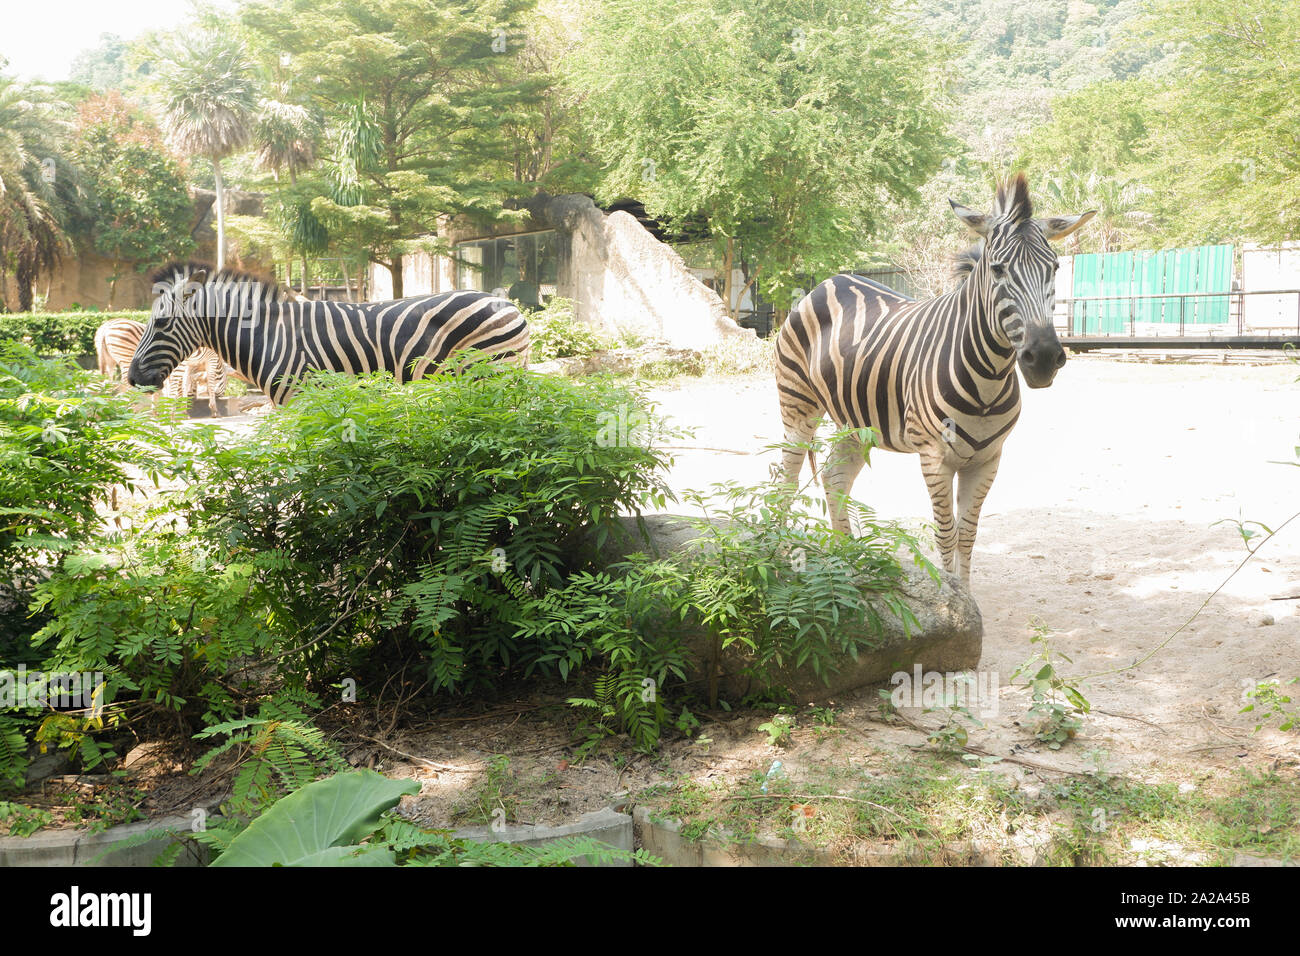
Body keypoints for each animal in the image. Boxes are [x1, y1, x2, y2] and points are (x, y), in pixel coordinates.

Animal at [127, 262, 530, 405]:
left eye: (161, 324)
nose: (131, 379)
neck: (271, 337)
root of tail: (508, 305)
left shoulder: (304, 398)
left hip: (492, 372)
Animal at [775, 174, 1094, 587]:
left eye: (1054, 268)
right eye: (998, 270)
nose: (1042, 359)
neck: (988, 380)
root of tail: (830, 281)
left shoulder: (988, 459)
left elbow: (968, 534)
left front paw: (966, 596)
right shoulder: (934, 457)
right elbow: (946, 533)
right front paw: (949, 598)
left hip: (855, 421)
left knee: (834, 478)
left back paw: (848, 561)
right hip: (797, 405)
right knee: (786, 479)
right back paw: (777, 554)